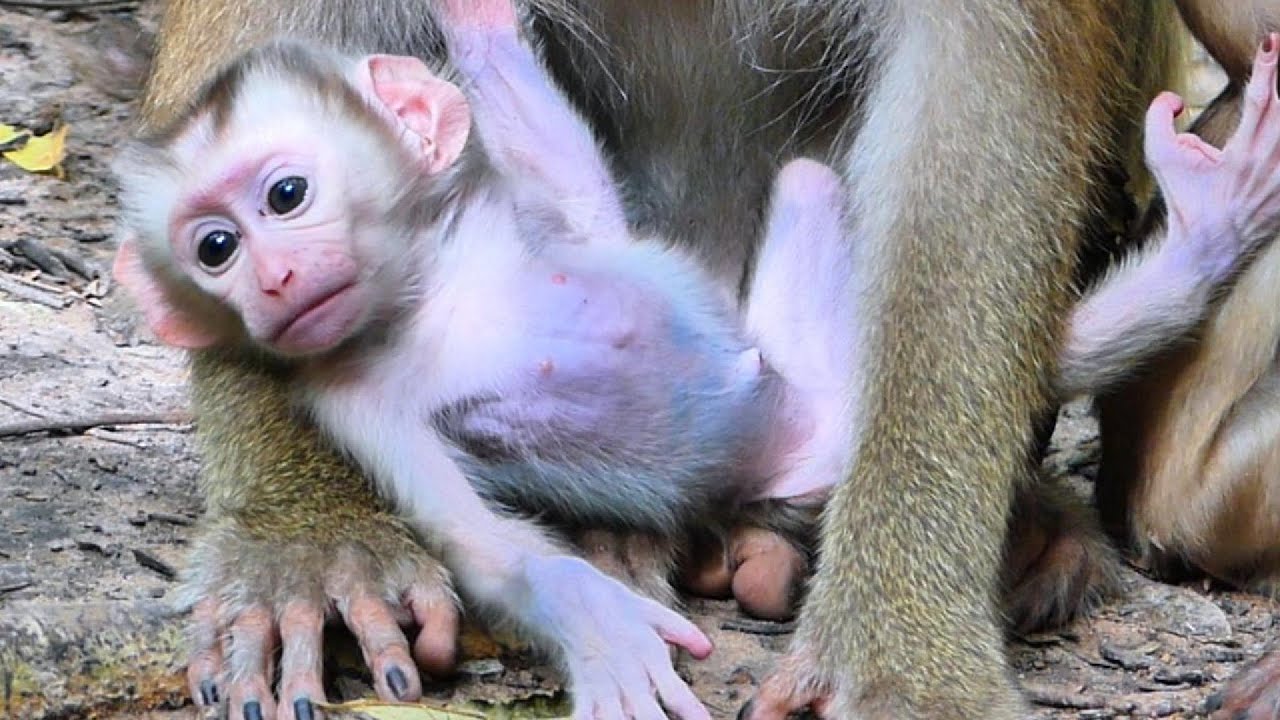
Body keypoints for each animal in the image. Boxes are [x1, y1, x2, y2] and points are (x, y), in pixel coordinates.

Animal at [128, 1, 1210, 719]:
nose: (278, 277)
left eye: (288, 196)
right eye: (215, 248)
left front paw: (904, 645)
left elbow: (983, 79)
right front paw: (303, 532)